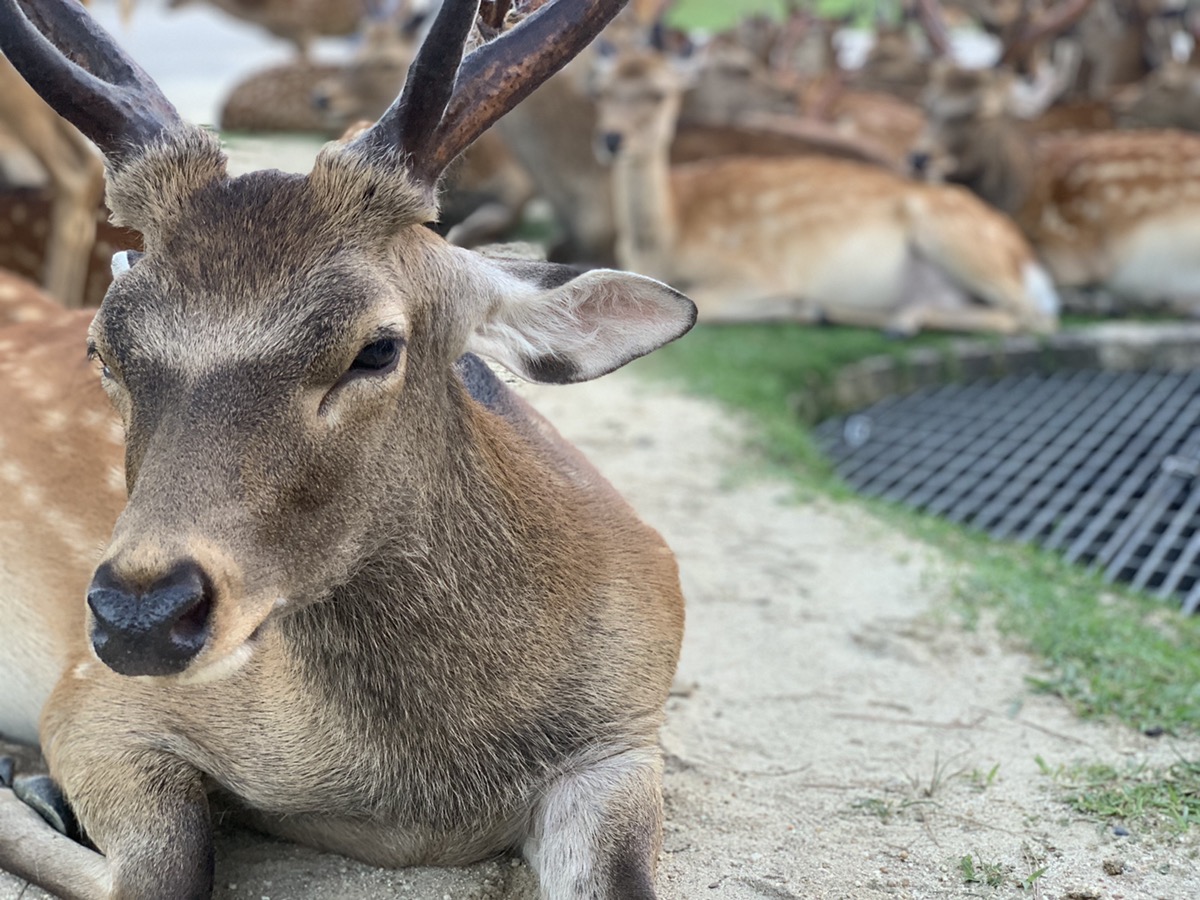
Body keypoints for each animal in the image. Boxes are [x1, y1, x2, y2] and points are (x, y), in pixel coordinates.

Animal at [0, 2, 697, 900]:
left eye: (377, 348)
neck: (413, 793)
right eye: (103, 348)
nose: (139, 617)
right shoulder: (87, 701)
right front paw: (33, 788)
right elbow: (168, 868)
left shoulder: (626, 734)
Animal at [590, 43, 1059, 335]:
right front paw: (802, 309)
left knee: (1033, 317)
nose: (611, 139)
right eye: (602, 90)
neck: (666, 239)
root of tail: (1026, 258)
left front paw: (791, 305)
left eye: (660, 93)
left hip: (959, 239)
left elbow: (711, 305)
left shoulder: (754, 269)